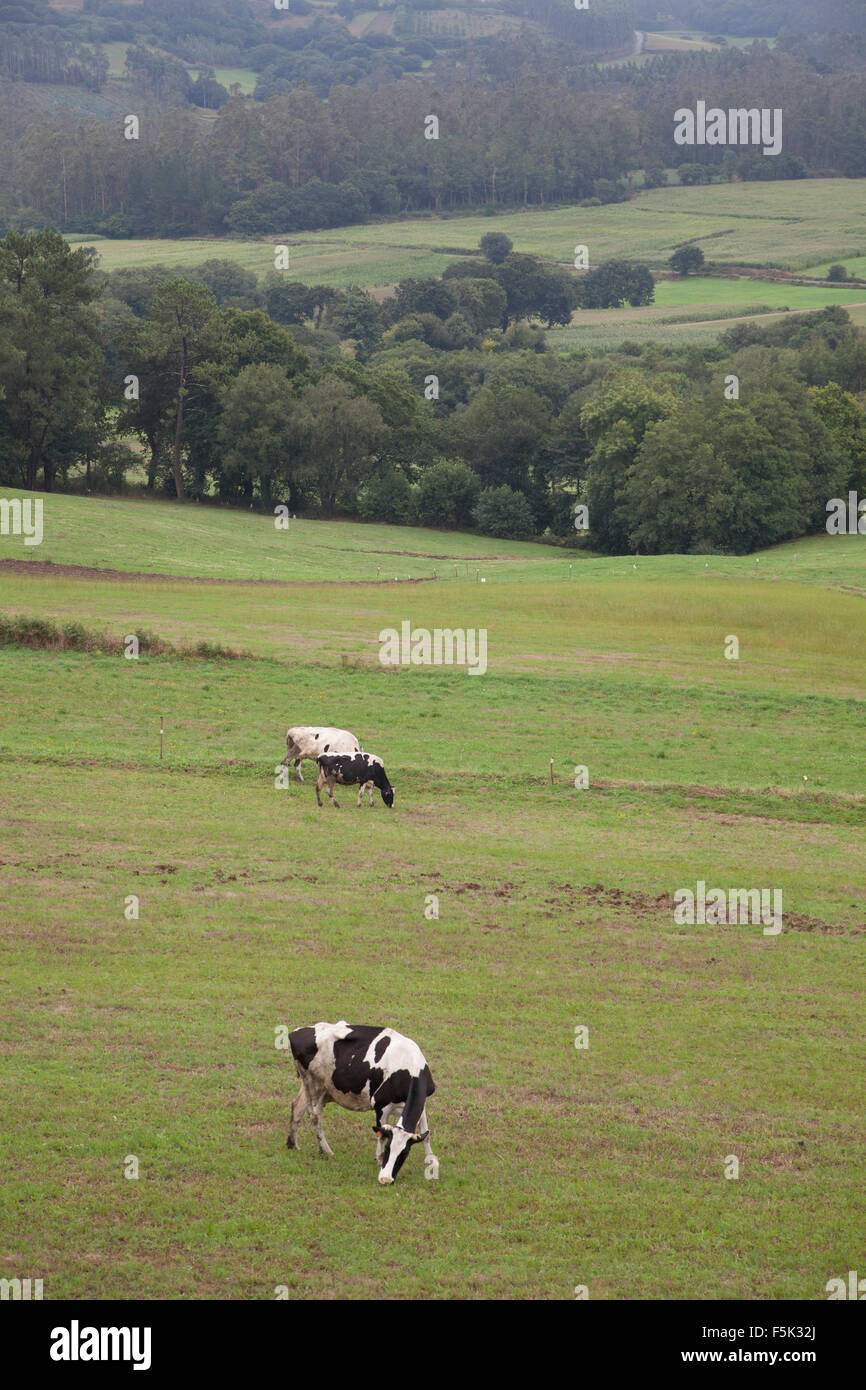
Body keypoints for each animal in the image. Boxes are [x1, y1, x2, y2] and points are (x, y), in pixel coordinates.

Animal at [286, 1021, 437, 1185]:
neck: (410, 1067)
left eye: (405, 1153)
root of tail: (297, 1032)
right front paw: (379, 1159)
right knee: (314, 1115)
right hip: (313, 1083)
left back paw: (293, 1145)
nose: (386, 1180)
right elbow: (381, 1135)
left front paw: (430, 1161)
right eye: (388, 1149)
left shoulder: (422, 1105)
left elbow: (426, 1134)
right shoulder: (380, 1105)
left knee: (297, 1107)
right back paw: (326, 1150)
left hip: (317, 1087)